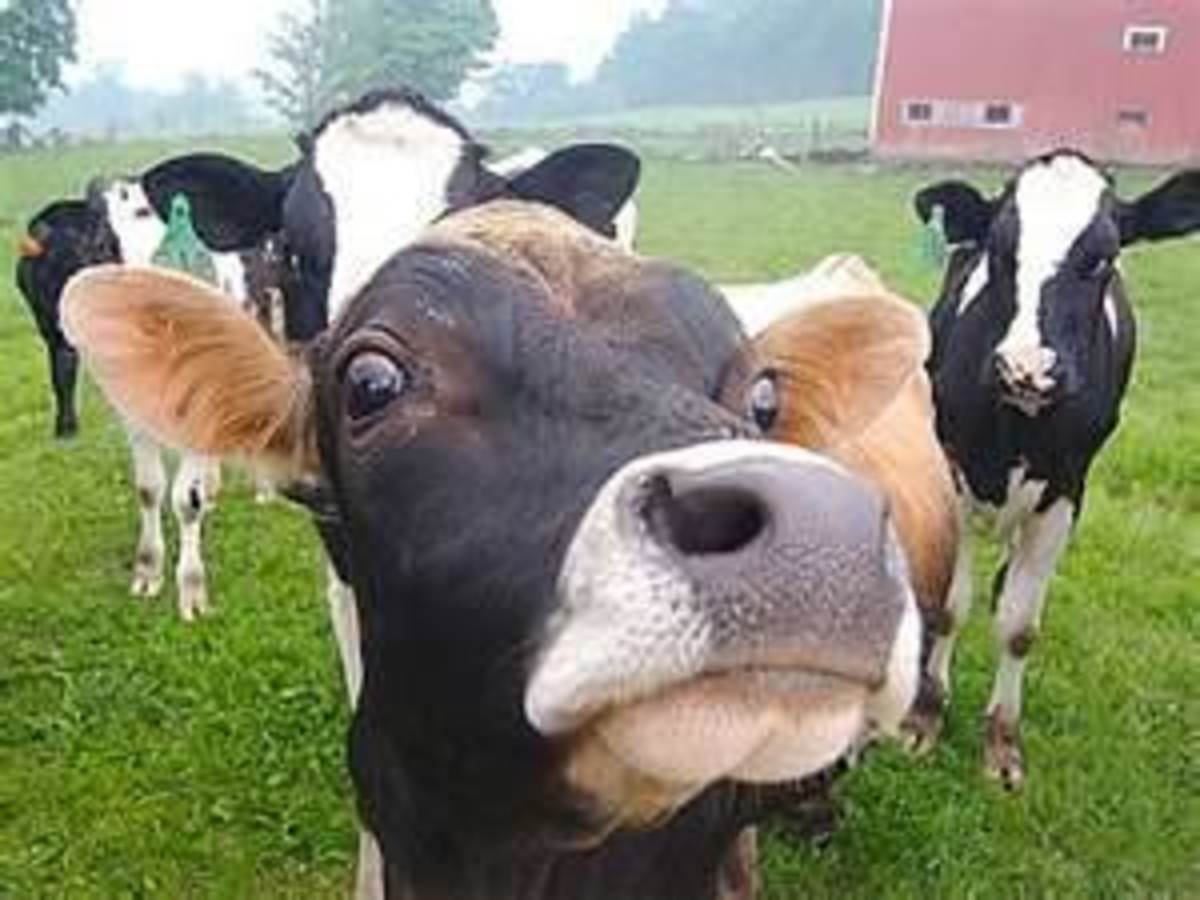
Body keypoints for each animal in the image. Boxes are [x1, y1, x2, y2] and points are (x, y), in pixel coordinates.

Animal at [912, 149, 1200, 788]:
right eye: (999, 251)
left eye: (1104, 257)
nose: (1027, 369)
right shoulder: (952, 471)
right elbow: (950, 605)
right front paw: (925, 715)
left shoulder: (1066, 492)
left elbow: (1020, 626)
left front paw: (1002, 743)